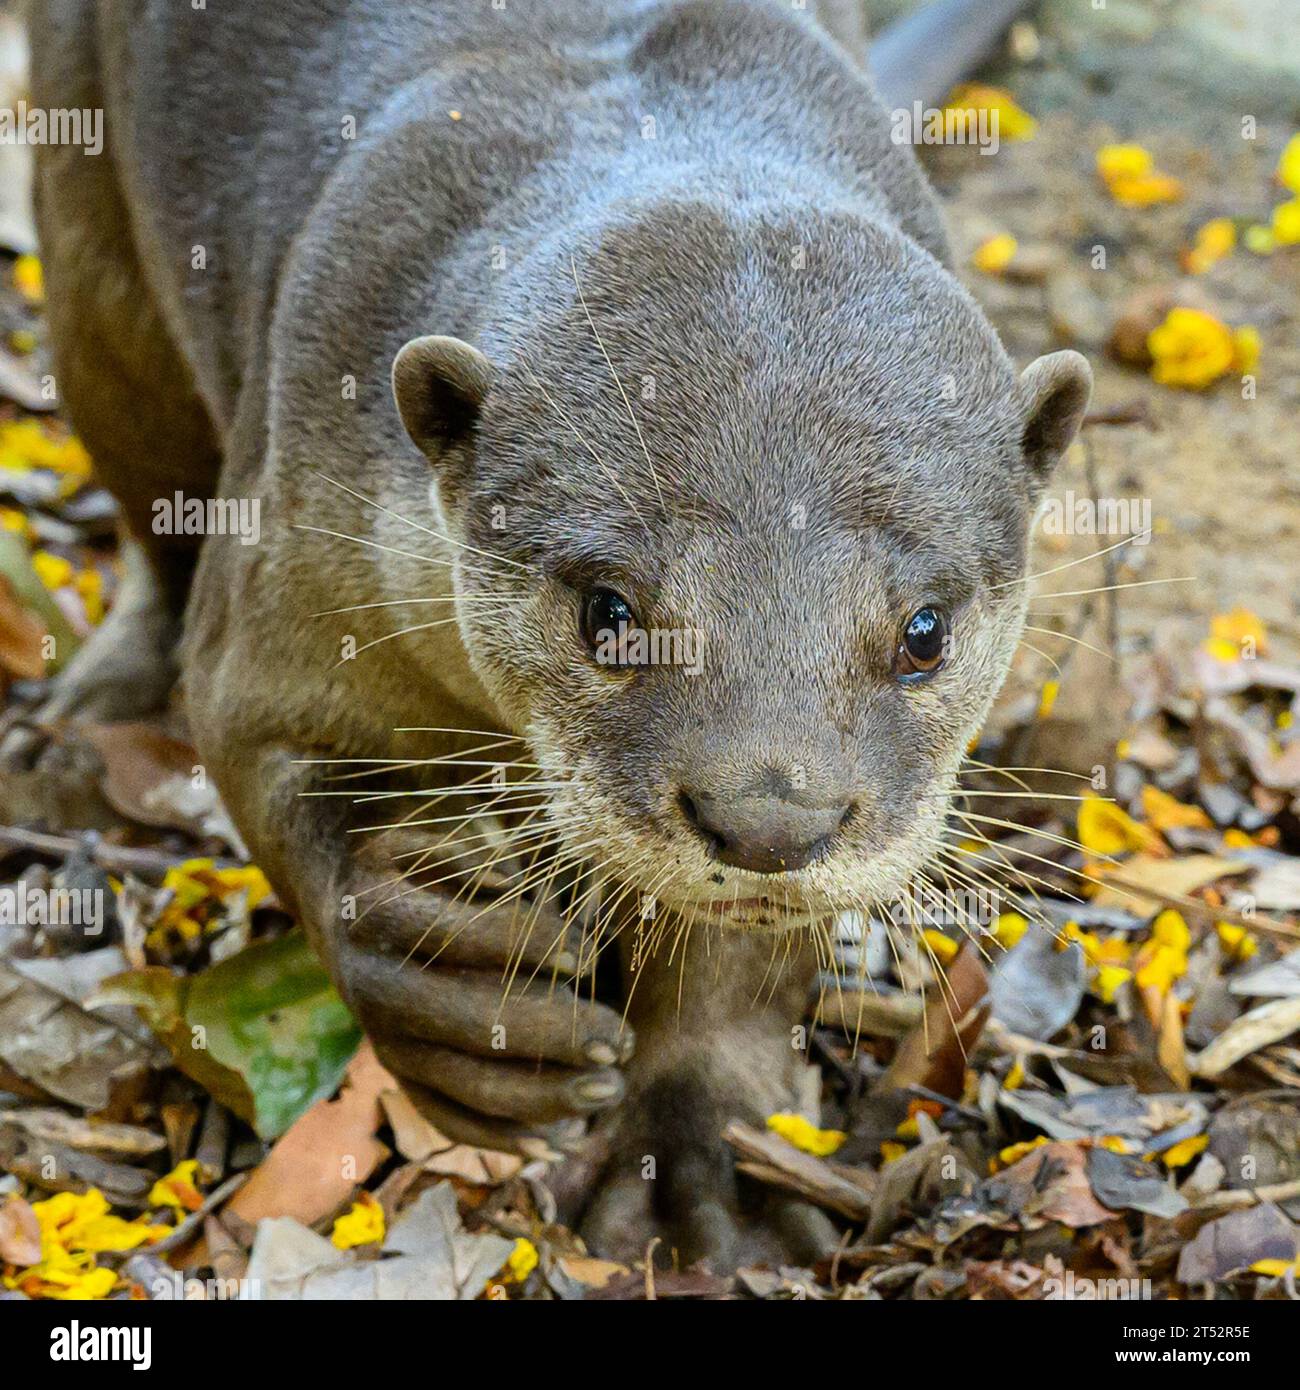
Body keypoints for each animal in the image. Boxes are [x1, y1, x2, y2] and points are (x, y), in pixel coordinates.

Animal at [16, 0, 1089, 1266]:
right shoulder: (300, 530)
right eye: (608, 612)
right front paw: (436, 977)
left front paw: (693, 1157)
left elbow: (731, 972)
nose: (770, 820)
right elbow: (249, 734)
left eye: (923, 630)